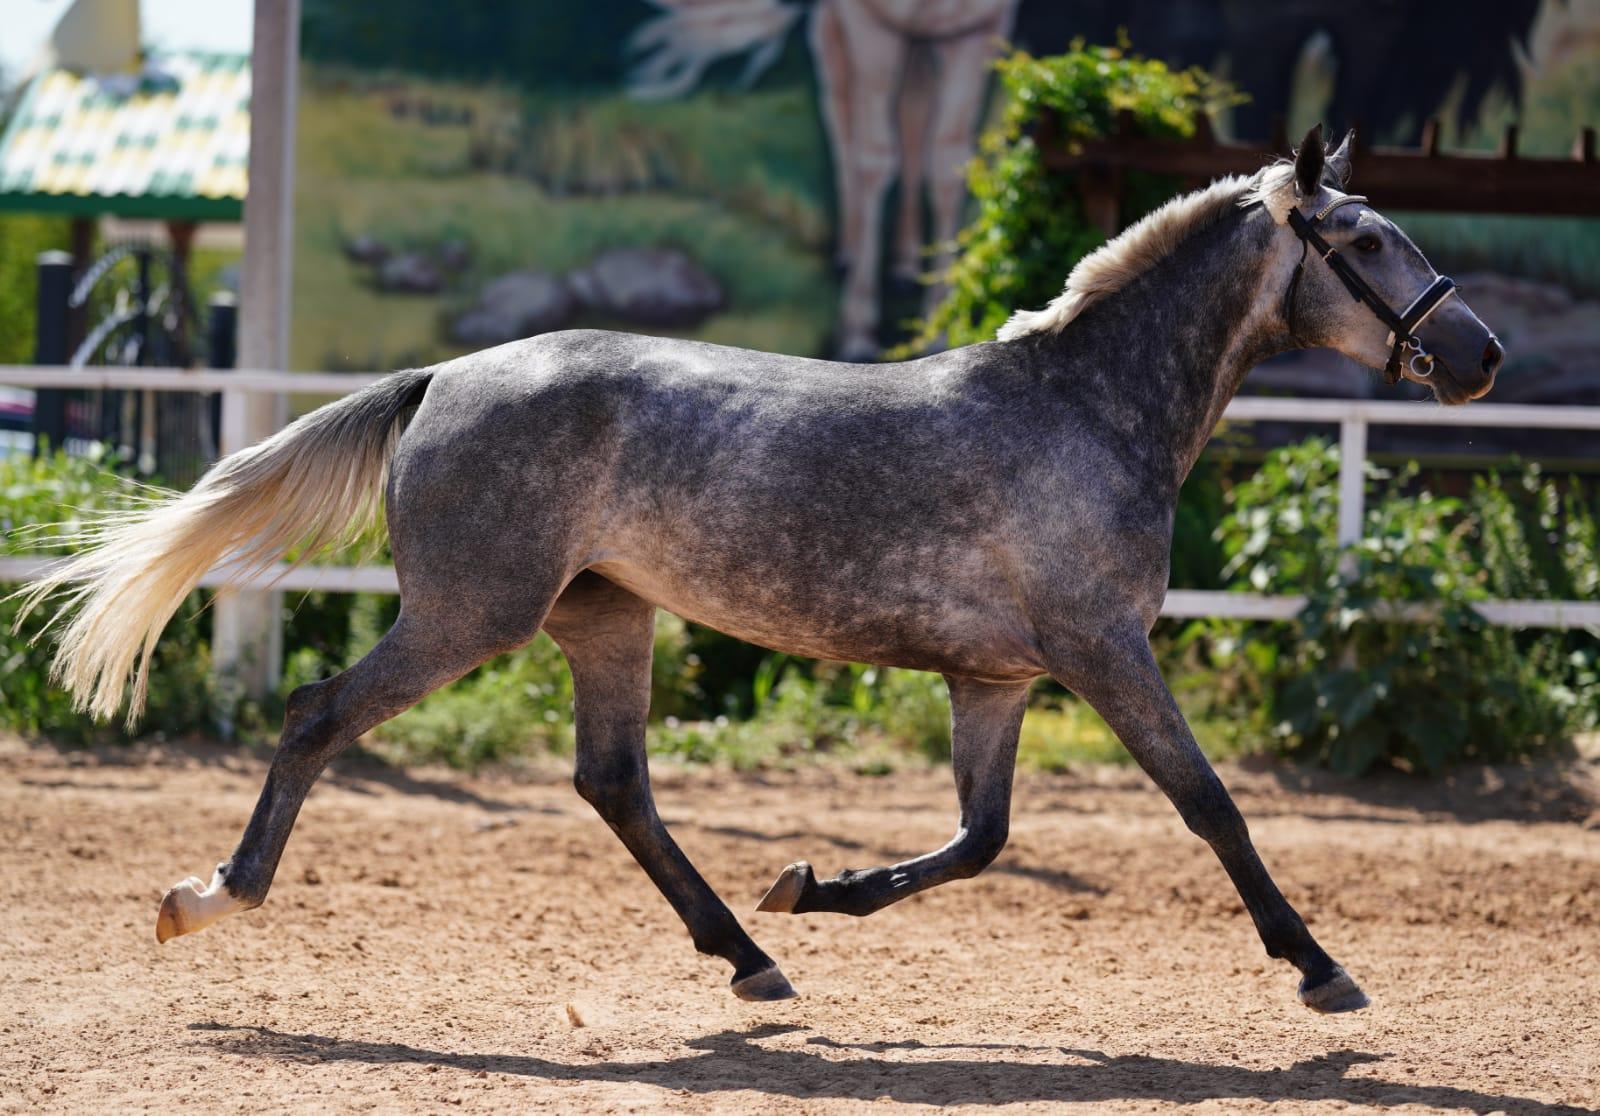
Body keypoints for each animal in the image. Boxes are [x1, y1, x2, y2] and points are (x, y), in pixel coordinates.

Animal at [18, 127, 1502, 1012]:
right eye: (1362, 242)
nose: (1477, 354)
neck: (1086, 408)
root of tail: (442, 375)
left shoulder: (998, 680)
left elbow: (981, 840)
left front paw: (813, 885)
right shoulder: (1102, 651)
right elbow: (1212, 809)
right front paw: (1321, 971)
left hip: (603, 621)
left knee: (613, 784)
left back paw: (752, 952)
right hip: (468, 615)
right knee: (317, 717)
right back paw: (209, 897)